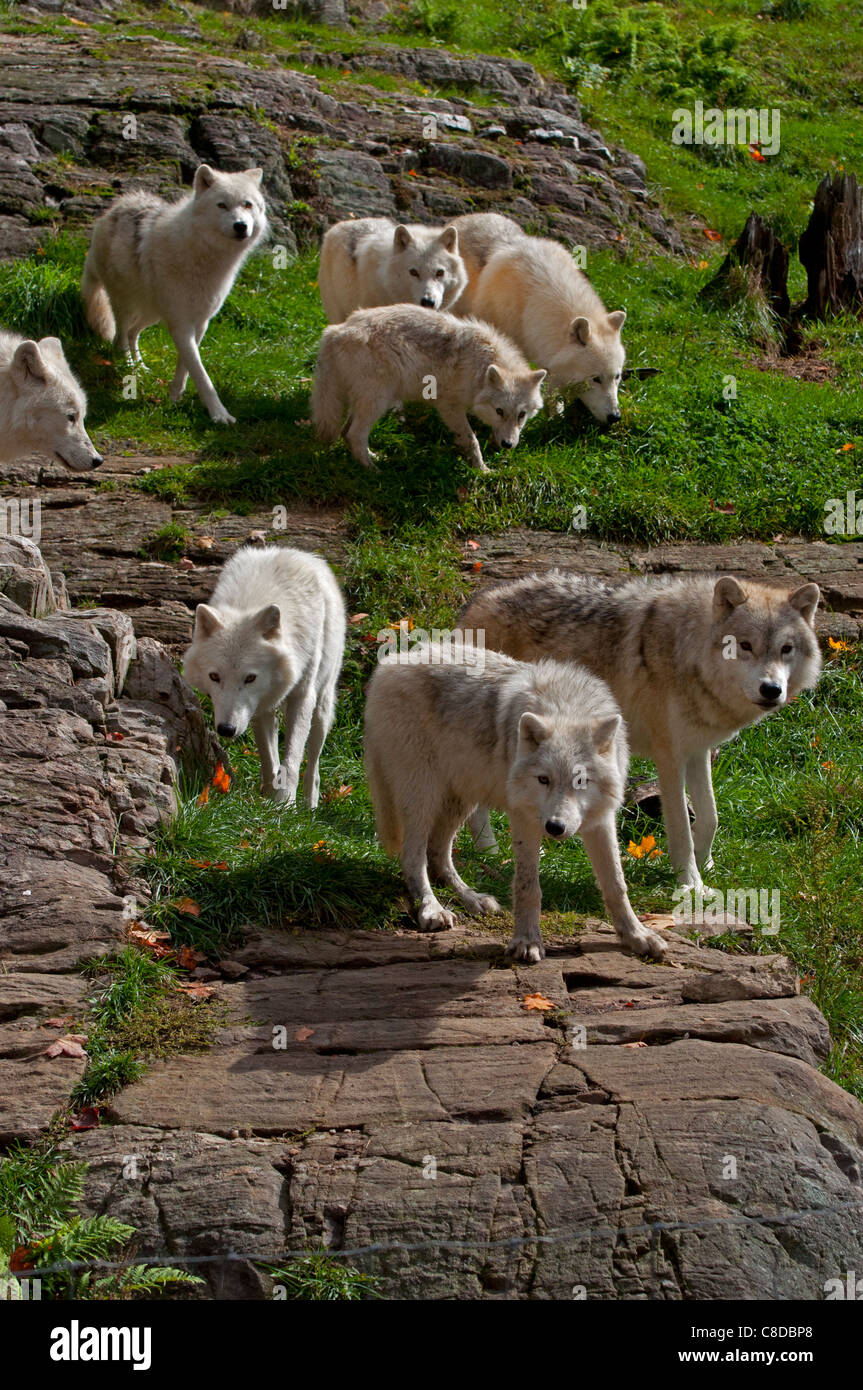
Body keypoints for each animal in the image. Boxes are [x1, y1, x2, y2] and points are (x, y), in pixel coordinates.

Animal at [81, 164, 267, 425]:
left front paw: (175, 396)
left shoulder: (200, 323)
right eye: (222, 205)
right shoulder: (180, 323)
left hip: (153, 314)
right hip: (127, 305)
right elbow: (200, 373)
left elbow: (186, 365)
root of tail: (112, 210)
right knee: (120, 338)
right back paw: (129, 367)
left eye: (247, 204)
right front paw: (219, 414)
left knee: (132, 333)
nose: (241, 226)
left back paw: (141, 368)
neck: (206, 258)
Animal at [183, 546, 345, 807]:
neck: (250, 602)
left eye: (250, 678)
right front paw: (271, 801)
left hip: (321, 707)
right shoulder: (258, 706)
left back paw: (310, 805)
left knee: (313, 765)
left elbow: (292, 760)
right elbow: (270, 761)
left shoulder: (302, 697)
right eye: (214, 676)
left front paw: (286, 804)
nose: (226, 730)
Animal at [311, 305, 546, 471]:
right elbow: (472, 440)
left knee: (346, 433)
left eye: (522, 415)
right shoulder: (449, 407)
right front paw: (483, 470)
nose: (508, 444)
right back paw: (372, 469)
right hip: (377, 402)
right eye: (499, 411)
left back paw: (375, 457)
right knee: (355, 434)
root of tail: (335, 331)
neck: (479, 366)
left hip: (371, 401)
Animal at [364, 648, 667, 962]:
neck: (566, 708)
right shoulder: (524, 818)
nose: (555, 827)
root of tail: (388, 665)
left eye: (581, 781)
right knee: (413, 856)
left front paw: (637, 935)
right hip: (423, 796)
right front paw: (527, 941)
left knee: (438, 853)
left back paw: (471, 898)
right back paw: (432, 909)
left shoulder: (600, 821)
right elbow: (528, 886)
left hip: (462, 798)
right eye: (543, 779)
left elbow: (616, 884)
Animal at [458, 573, 822, 889]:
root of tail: (473, 601)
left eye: (786, 649)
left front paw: (707, 865)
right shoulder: (669, 758)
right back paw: (491, 853)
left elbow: (710, 816)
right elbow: (681, 826)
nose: (771, 690)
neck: (686, 650)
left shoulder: (697, 750)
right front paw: (691, 883)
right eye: (745, 645)